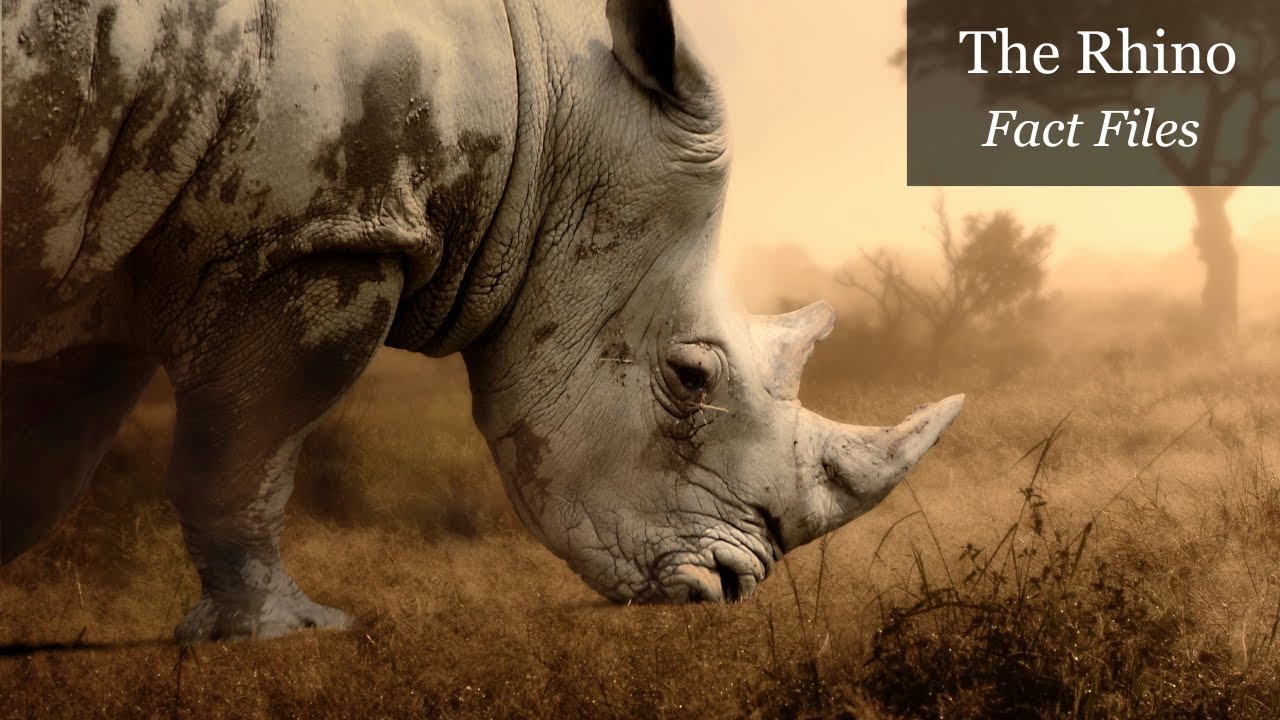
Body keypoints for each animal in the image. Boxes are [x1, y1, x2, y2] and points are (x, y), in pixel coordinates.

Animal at [1, 0, 963, 643]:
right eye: (690, 378)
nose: (729, 590)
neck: (552, 110)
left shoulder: (103, 248)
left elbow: (45, 460)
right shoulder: (320, 234)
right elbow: (245, 450)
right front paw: (288, 634)